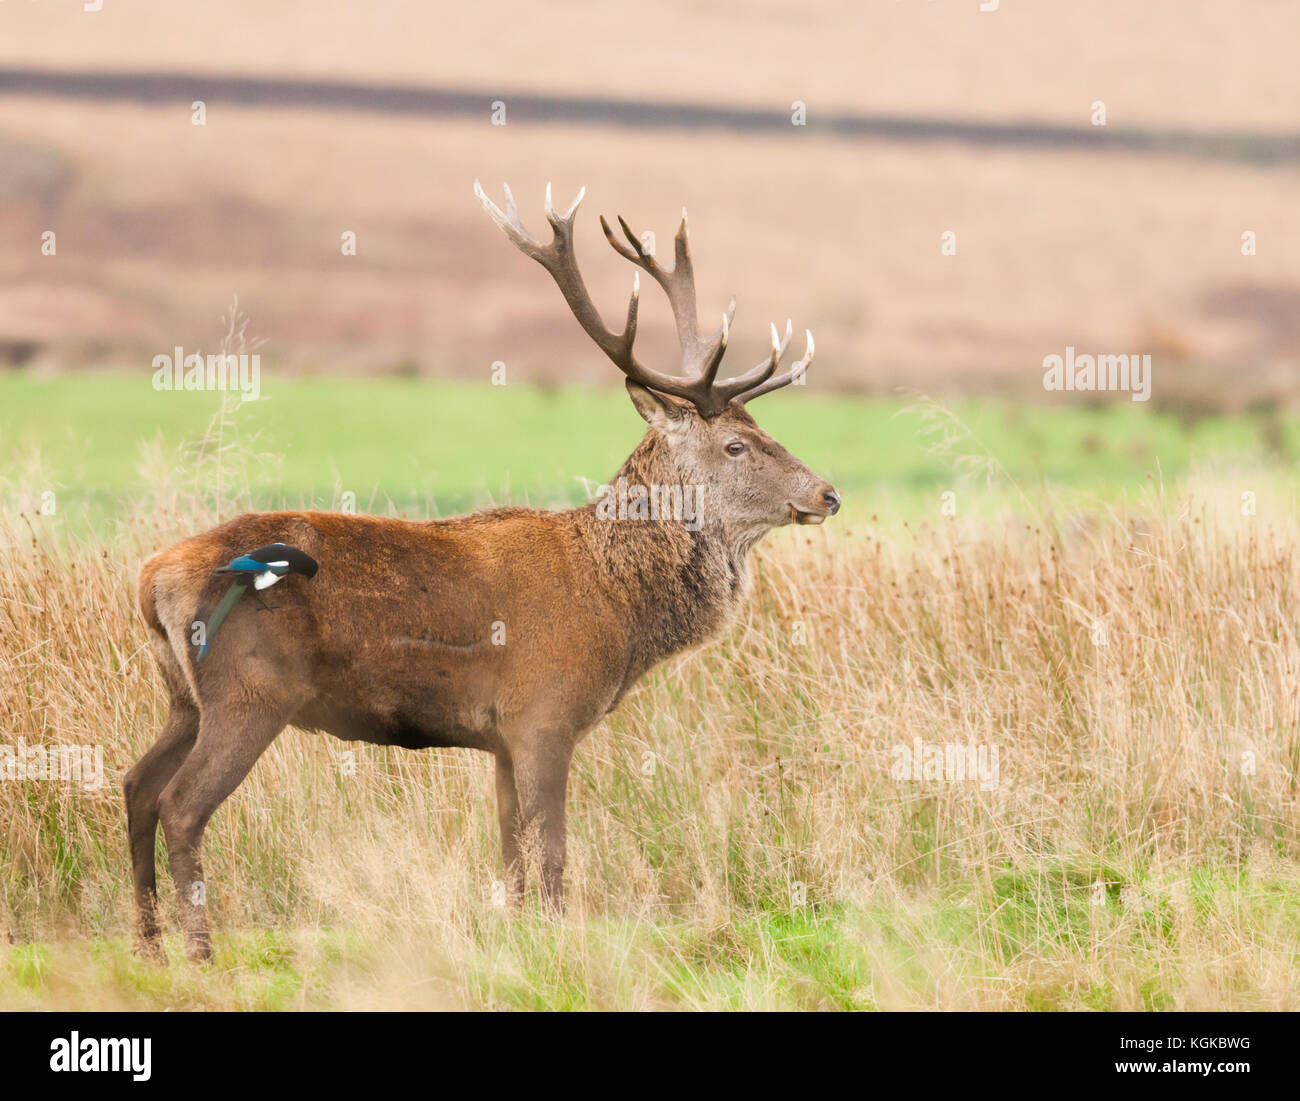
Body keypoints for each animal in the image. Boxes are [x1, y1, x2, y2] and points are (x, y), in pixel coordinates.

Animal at [126, 182, 841, 962]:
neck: (617, 607)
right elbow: (551, 851)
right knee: (181, 804)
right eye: (737, 445)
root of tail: (152, 579)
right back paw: (200, 951)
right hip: (250, 690)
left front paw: (518, 939)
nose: (827, 493)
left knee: (134, 785)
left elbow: (511, 854)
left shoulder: (500, 739)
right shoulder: (544, 714)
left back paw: (149, 946)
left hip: (183, 696)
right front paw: (560, 946)